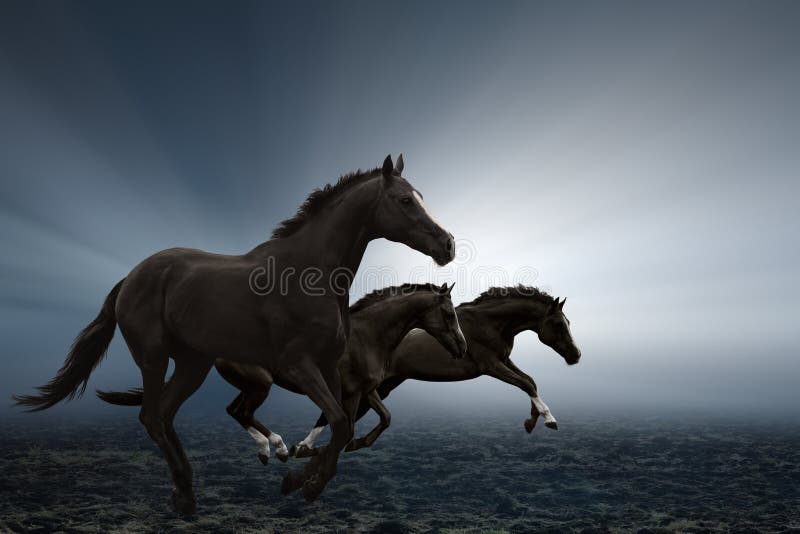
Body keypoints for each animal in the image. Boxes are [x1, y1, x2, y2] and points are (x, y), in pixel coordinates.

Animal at [98, 282, 468, 467]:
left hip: (251, 385)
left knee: (234, 411)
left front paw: (340, 445)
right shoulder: (349, 391)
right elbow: (340, 424)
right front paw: (311, 449)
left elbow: (385, 418)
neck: (368, 334)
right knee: (241, 413)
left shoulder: (367, 389)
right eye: (450, 313)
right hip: (260, 384)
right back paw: (274, 447)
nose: (462, 347)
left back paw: (270, 449)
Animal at [292, 285, 581, 457]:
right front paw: (548, 419)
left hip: (383, 386)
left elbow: (530, 381)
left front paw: (532, 421)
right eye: (558, 324)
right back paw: (304, 447)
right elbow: (526, 384)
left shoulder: (504, 361)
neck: (489, 323)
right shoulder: (491, 365)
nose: (576, 355)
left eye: (568, 322)